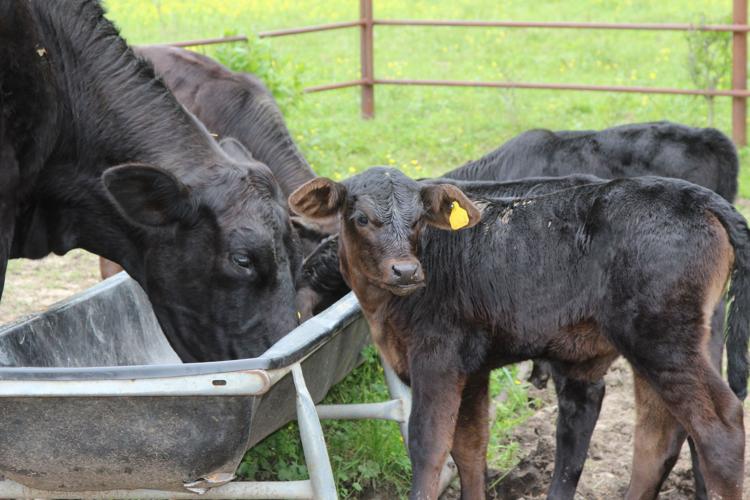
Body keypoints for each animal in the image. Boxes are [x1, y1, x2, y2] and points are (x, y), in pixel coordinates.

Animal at [289, 167, 750, 499]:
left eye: (420, 219)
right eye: (361, 218)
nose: (405, 270)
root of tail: (696, 194)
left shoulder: (437, 358)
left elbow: (428, 445)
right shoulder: (471, 367)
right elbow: (470, 448)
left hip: (662, 339)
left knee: (719, 426)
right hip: (665, 344)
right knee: (658, 437)